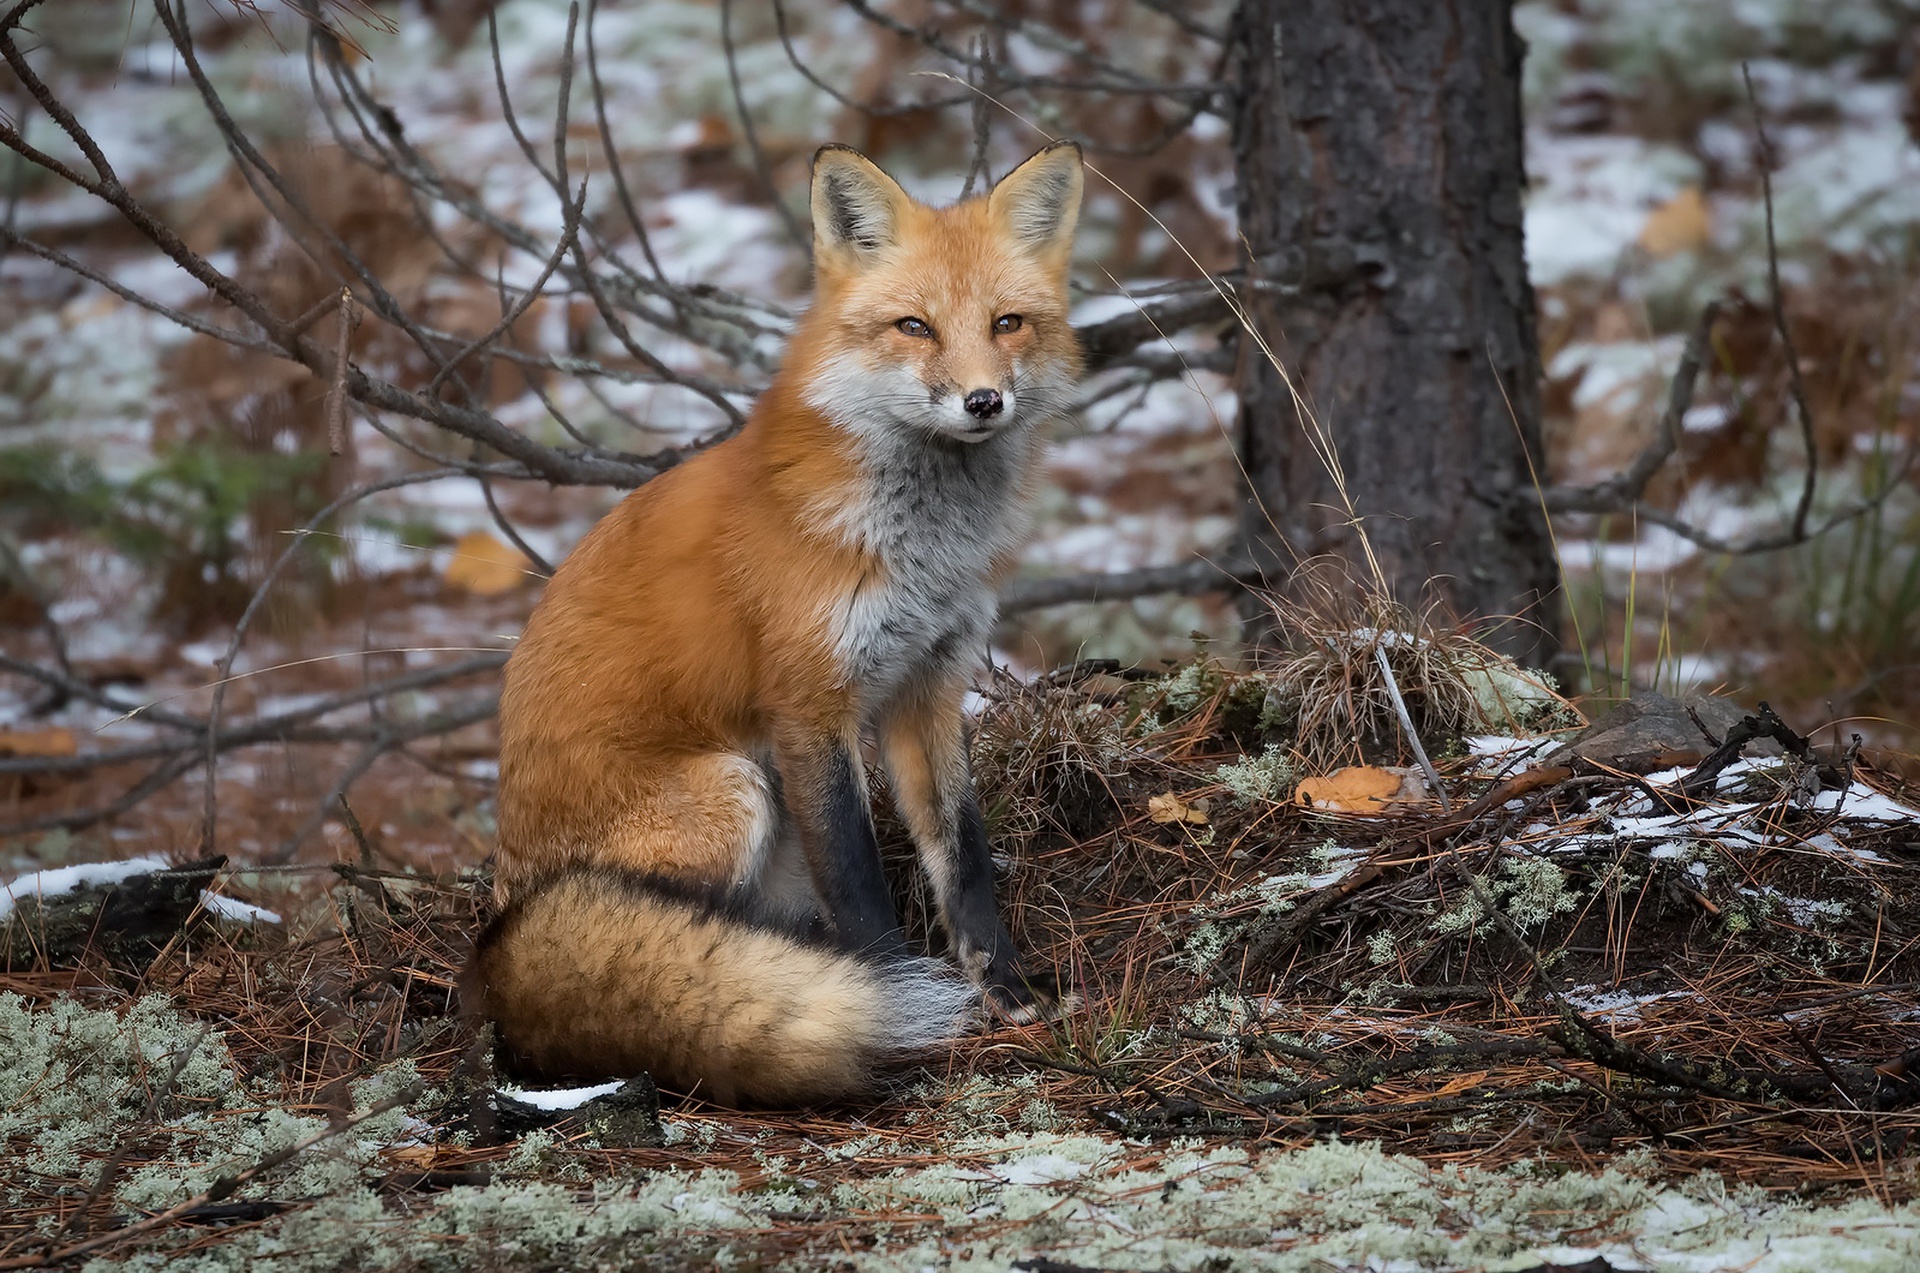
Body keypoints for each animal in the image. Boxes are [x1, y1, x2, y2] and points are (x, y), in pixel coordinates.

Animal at [466, 141, 1086, 1107]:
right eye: (915, 327)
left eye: (1008, 322)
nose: (984, 400)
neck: (916, 546)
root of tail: (502, 926)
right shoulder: (809, 704)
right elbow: (860, 881)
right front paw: (888, 998)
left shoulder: (927, 685)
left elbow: (964, 853)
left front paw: (1005, 984)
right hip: (735, 789)